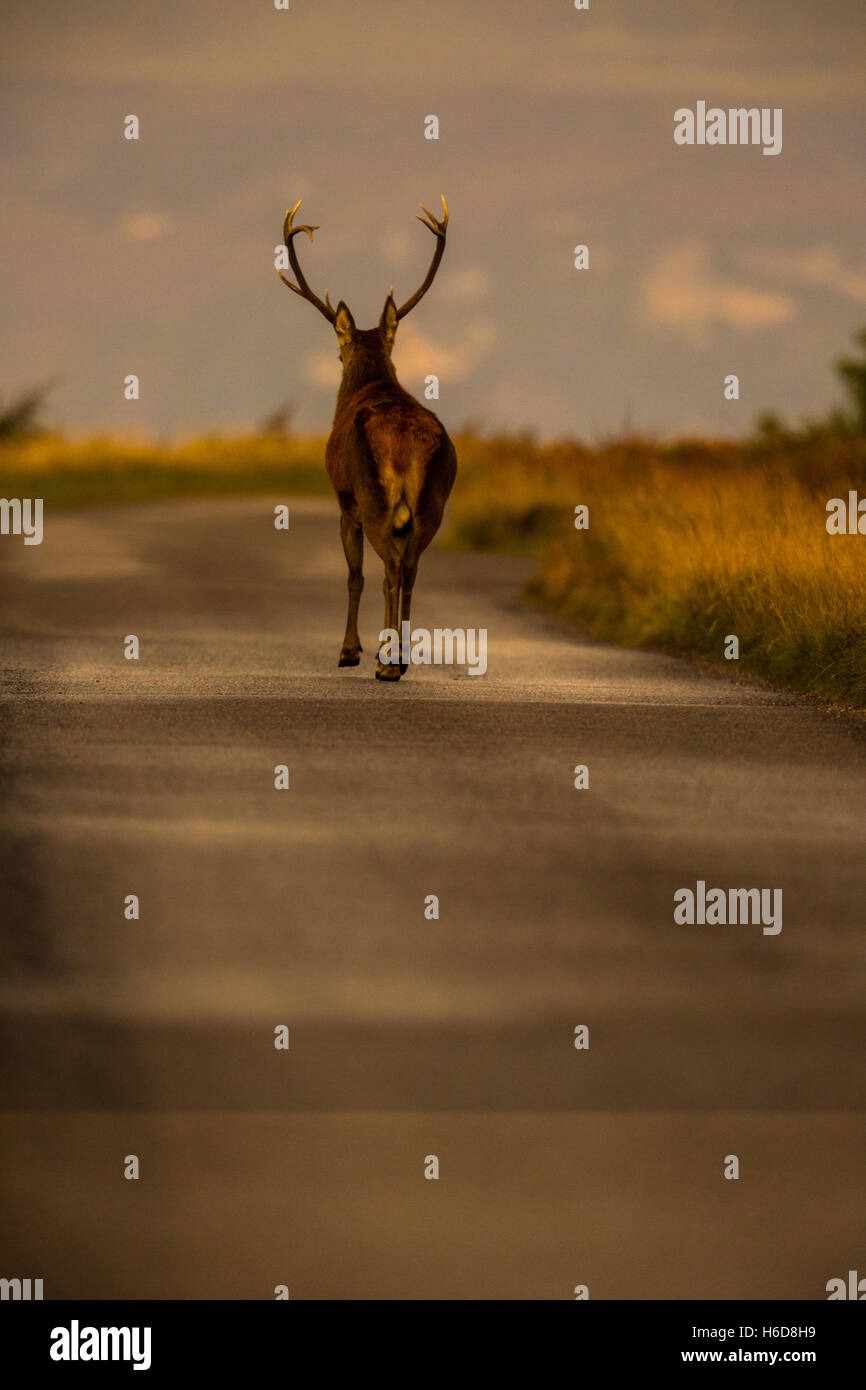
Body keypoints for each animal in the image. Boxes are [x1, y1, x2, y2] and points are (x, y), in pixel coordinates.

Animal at [278, 197, 457, 680]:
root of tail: (409, 440)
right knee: (411, 568)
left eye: (339, 349)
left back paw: (388, 664)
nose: (337, 356)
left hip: (373, 497)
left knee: (391, 568)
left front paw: (349, 651)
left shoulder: (344, 502)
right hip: (433, 503)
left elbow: (353, 577)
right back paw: (402, 657)